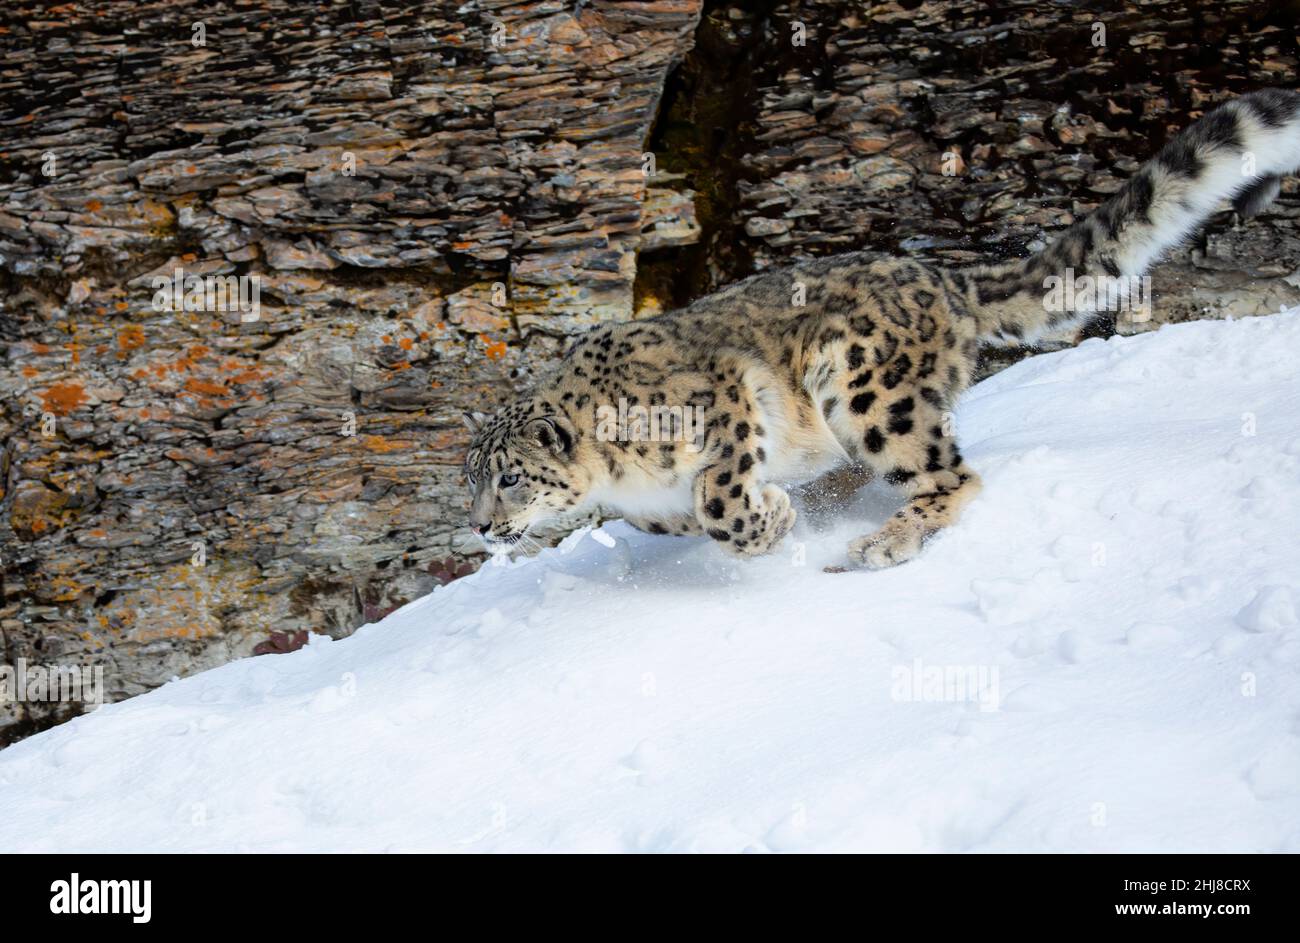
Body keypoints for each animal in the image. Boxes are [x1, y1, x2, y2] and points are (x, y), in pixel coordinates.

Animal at [463, 89, 1300, 570]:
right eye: (470, 481)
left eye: (510, 478)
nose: (480, 528)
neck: (619, 483)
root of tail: (941, 276)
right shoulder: (647, 509)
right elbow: (690, 519)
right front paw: (775, 514)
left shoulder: (722, 397)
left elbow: (718, 499)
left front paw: (770, 518)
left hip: (866, 386)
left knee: (950, 476)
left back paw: (880, 541)